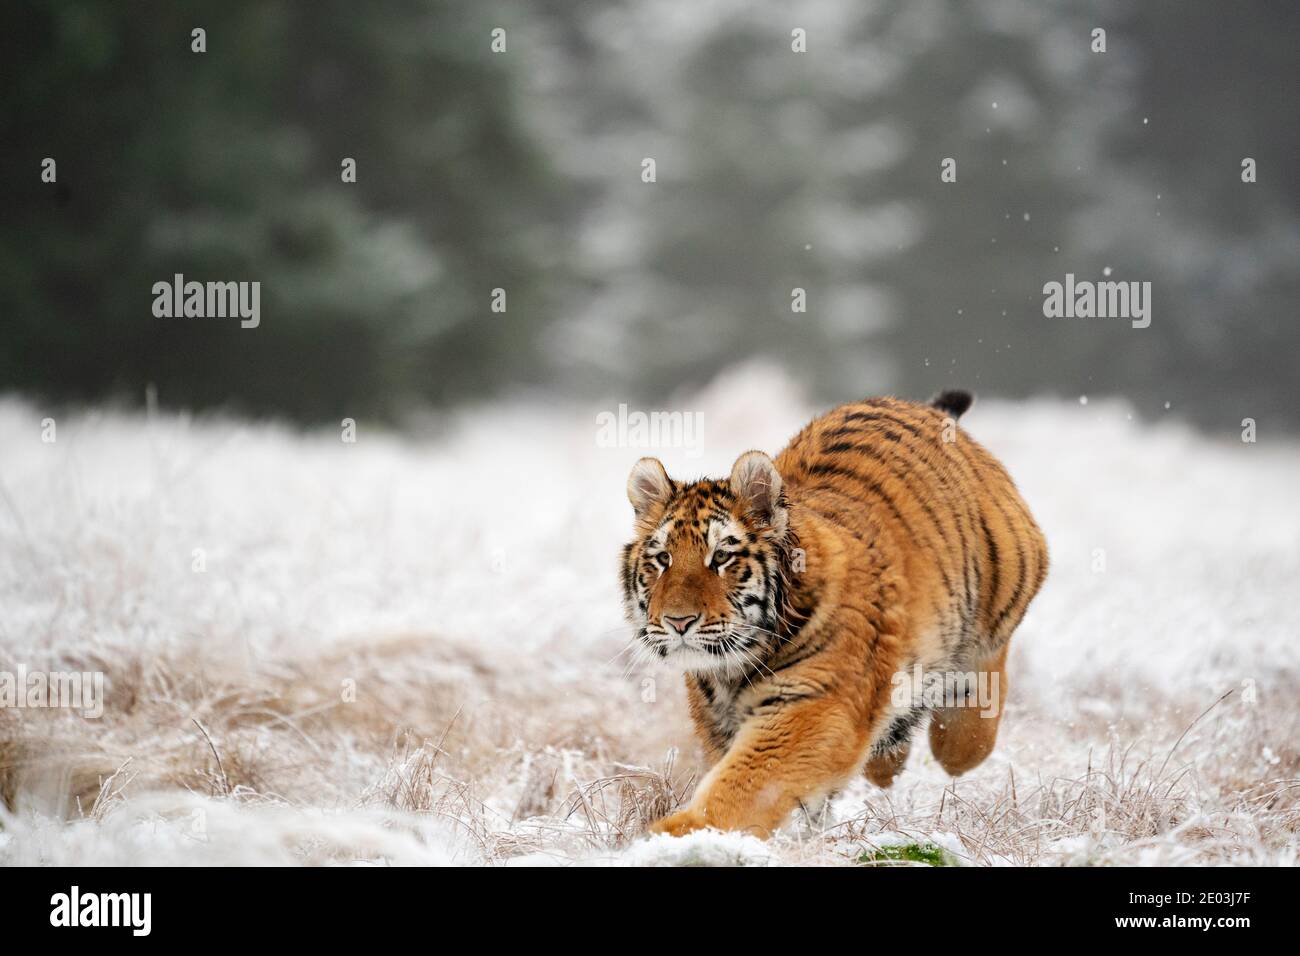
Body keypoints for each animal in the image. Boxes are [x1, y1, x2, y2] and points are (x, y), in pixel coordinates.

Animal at [619, 390, 1048, 838]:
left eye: (721, 557)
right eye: (663, 559)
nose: (678, 622)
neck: (731, 669)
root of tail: (927, 409)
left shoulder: (813, 705)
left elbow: (745, 785)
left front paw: (672, 837)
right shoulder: (717, 719)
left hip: (1004, 591)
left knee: (978, 691)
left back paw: (960, 741)